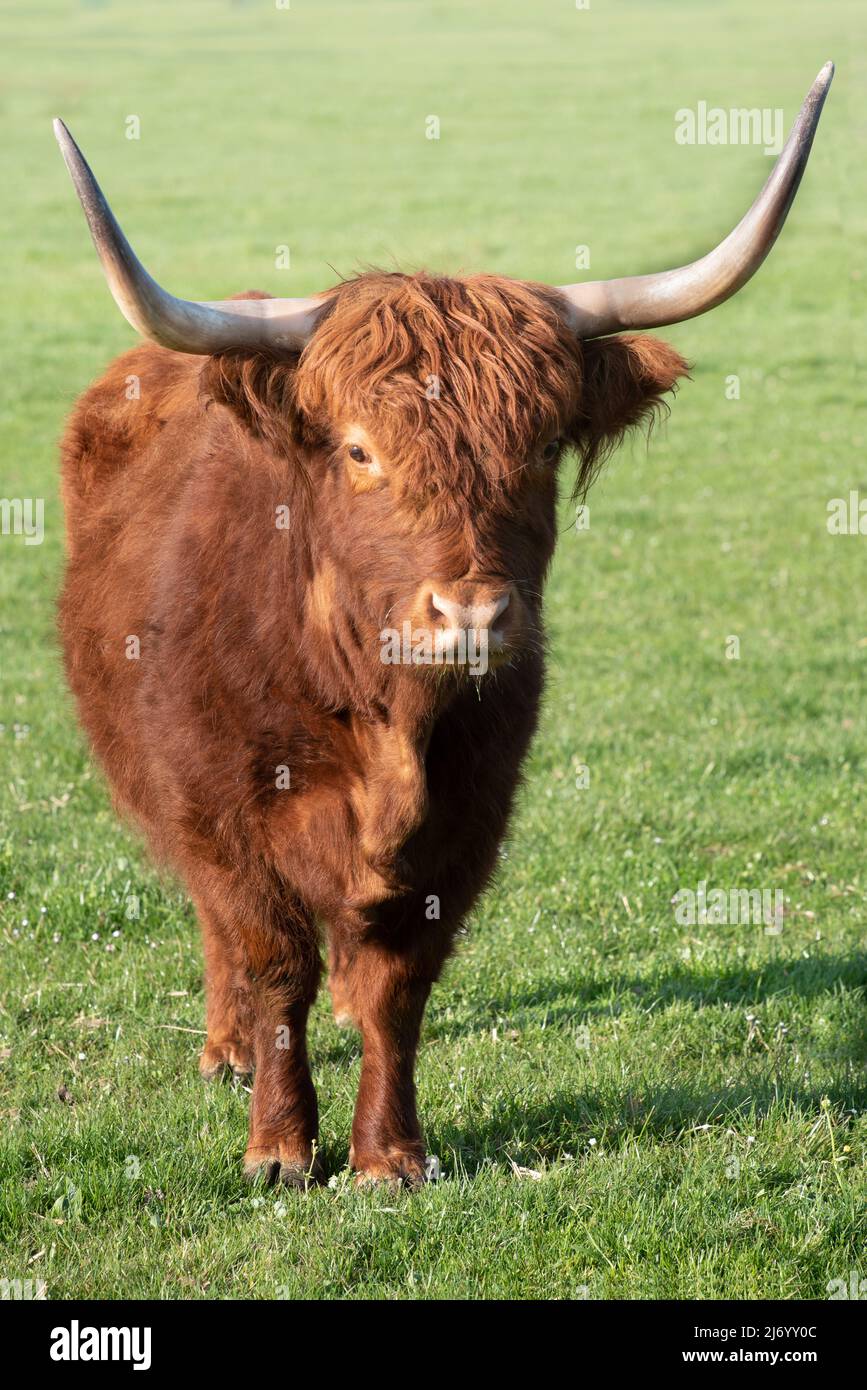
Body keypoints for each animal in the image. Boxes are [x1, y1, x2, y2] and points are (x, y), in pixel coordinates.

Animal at [54, 65, 831, 1187]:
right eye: (359, 450)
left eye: (543, 445)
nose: (470, 613)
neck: (384, 721)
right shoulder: (224, 810)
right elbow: (271, 961)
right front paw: (280, 1147)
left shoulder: (470, 819)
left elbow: (397, 987)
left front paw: (388, 1154)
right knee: (218, 931)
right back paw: (227, 1048)